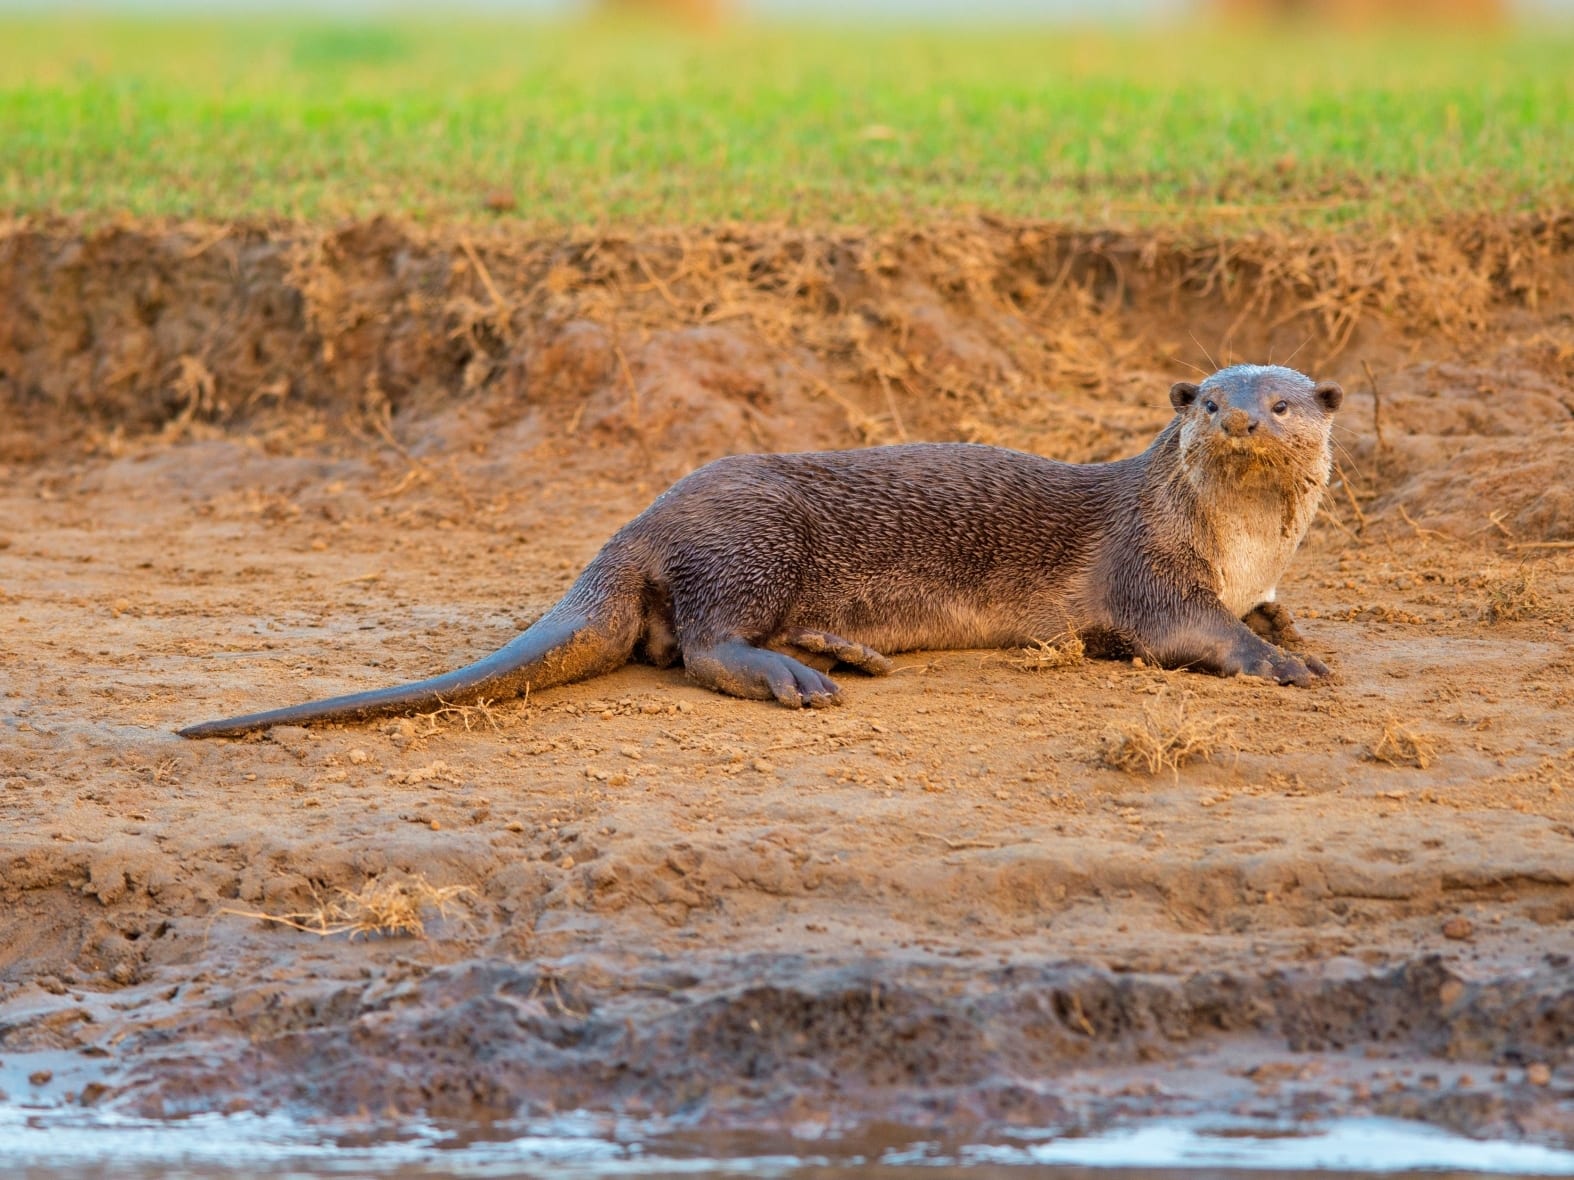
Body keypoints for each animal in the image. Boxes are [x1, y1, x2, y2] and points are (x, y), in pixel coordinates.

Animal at [178, 364, 1342, 738]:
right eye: (1208, 401)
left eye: (1282, 402)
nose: (1243, 420)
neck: (1236, 546)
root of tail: (643, 519)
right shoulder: (1149, 571)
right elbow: (1191, 632)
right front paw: (1283, 664)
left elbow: (1263, 608)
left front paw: (1296, 631)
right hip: (755, 540)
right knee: (700, 642)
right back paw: (795, 677)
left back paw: (843, 654)